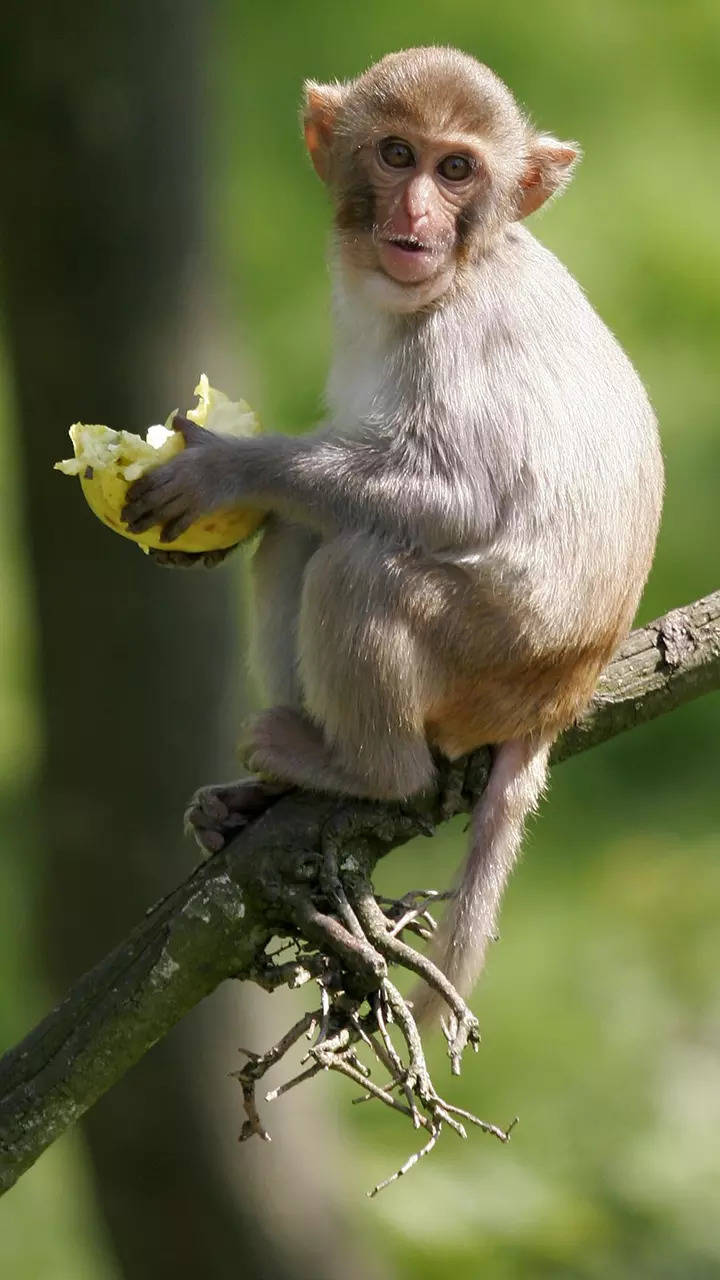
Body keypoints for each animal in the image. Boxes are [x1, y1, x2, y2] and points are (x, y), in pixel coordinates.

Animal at [122, 47, 663, 1014]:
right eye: (398, 155)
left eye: (457, 171)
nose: (415, 217)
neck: (460, 271)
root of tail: (563, 693)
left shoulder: (459, 342)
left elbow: (460, 500)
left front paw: (230, 469)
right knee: (304, 539)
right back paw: (271, 792)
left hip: (491, 656)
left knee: (360, 569)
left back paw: (372, 771)